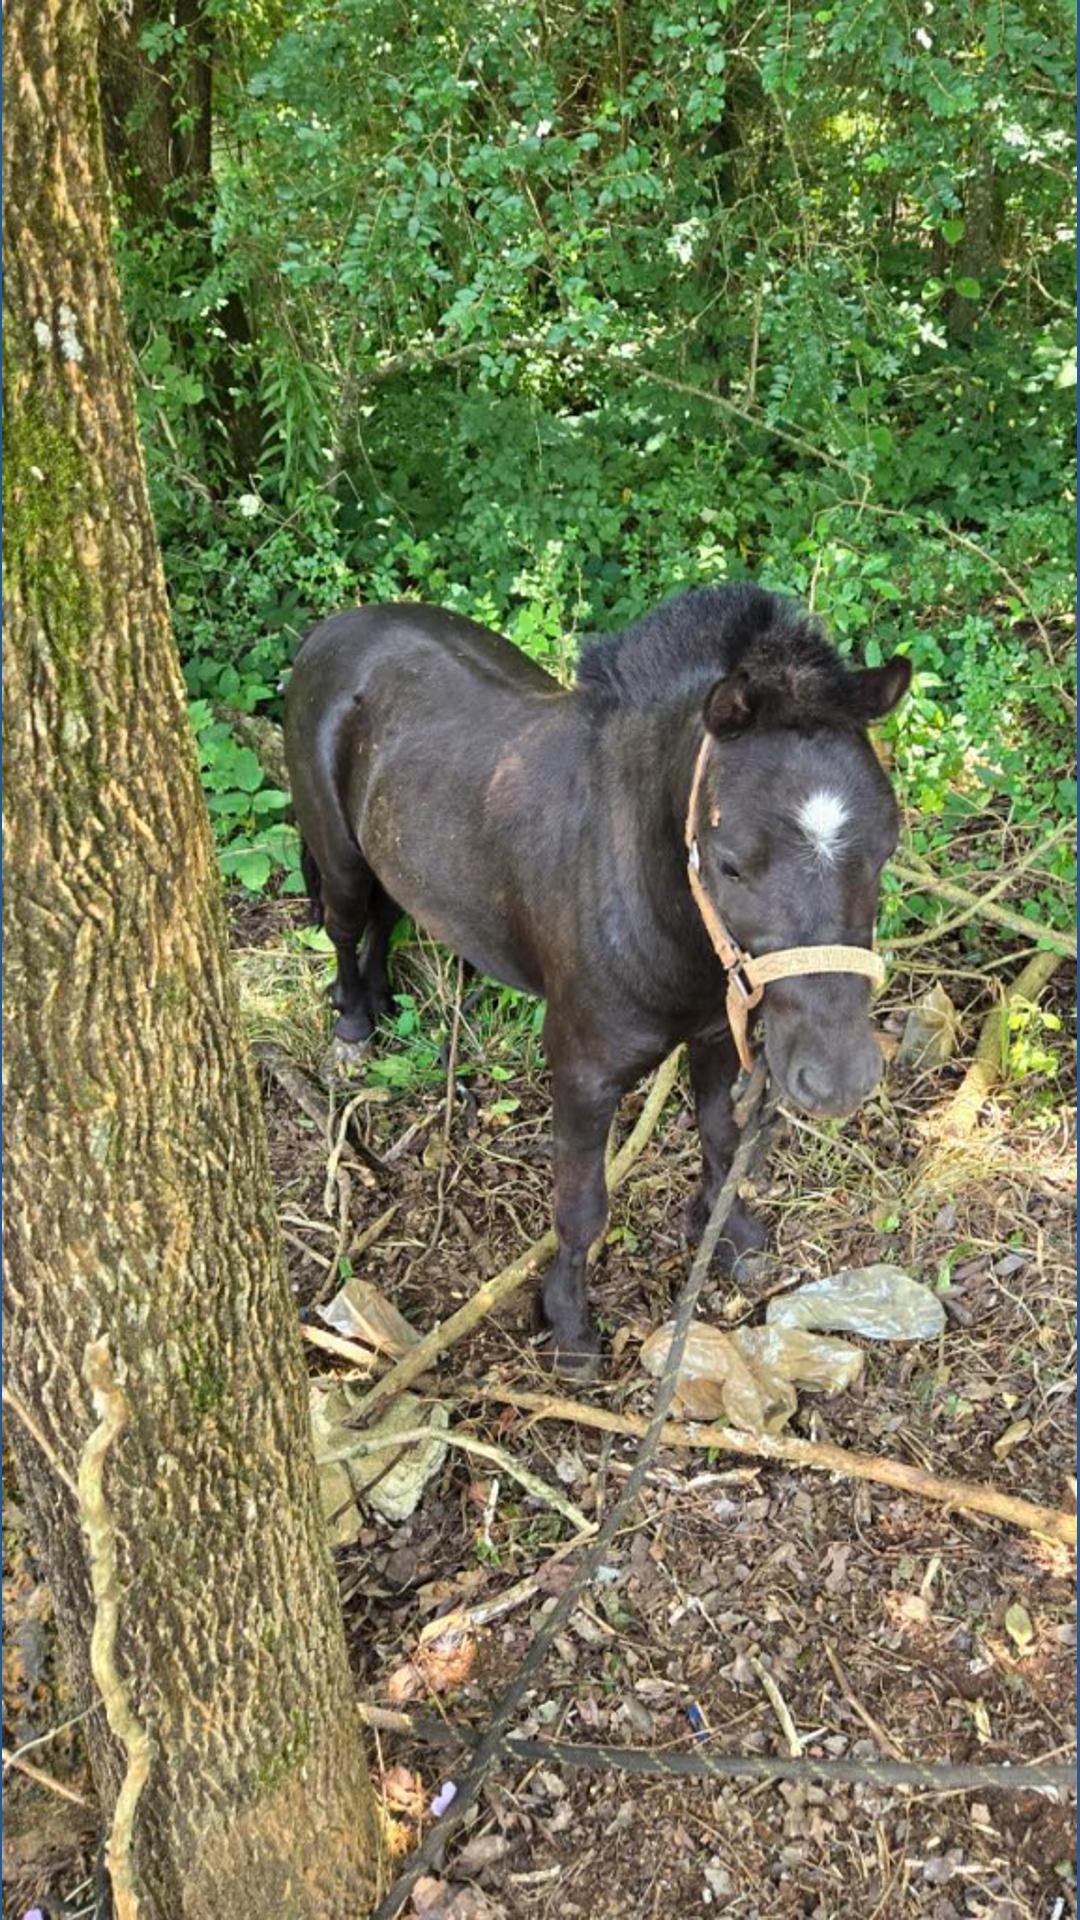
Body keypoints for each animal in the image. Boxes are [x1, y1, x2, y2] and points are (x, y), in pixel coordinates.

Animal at [284, 583, 910, 1374]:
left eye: (886, 848)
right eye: (732, 863)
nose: (838, 1080)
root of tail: (336, 628)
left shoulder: (714, 1033)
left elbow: (720, 1138)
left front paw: (729, 1236)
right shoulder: (582, 1073)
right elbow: (581, 1205)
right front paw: (570, 1328)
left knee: (389, 915)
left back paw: (381, 998)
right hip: (338, 854)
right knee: (344, 923)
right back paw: (354, 1026)